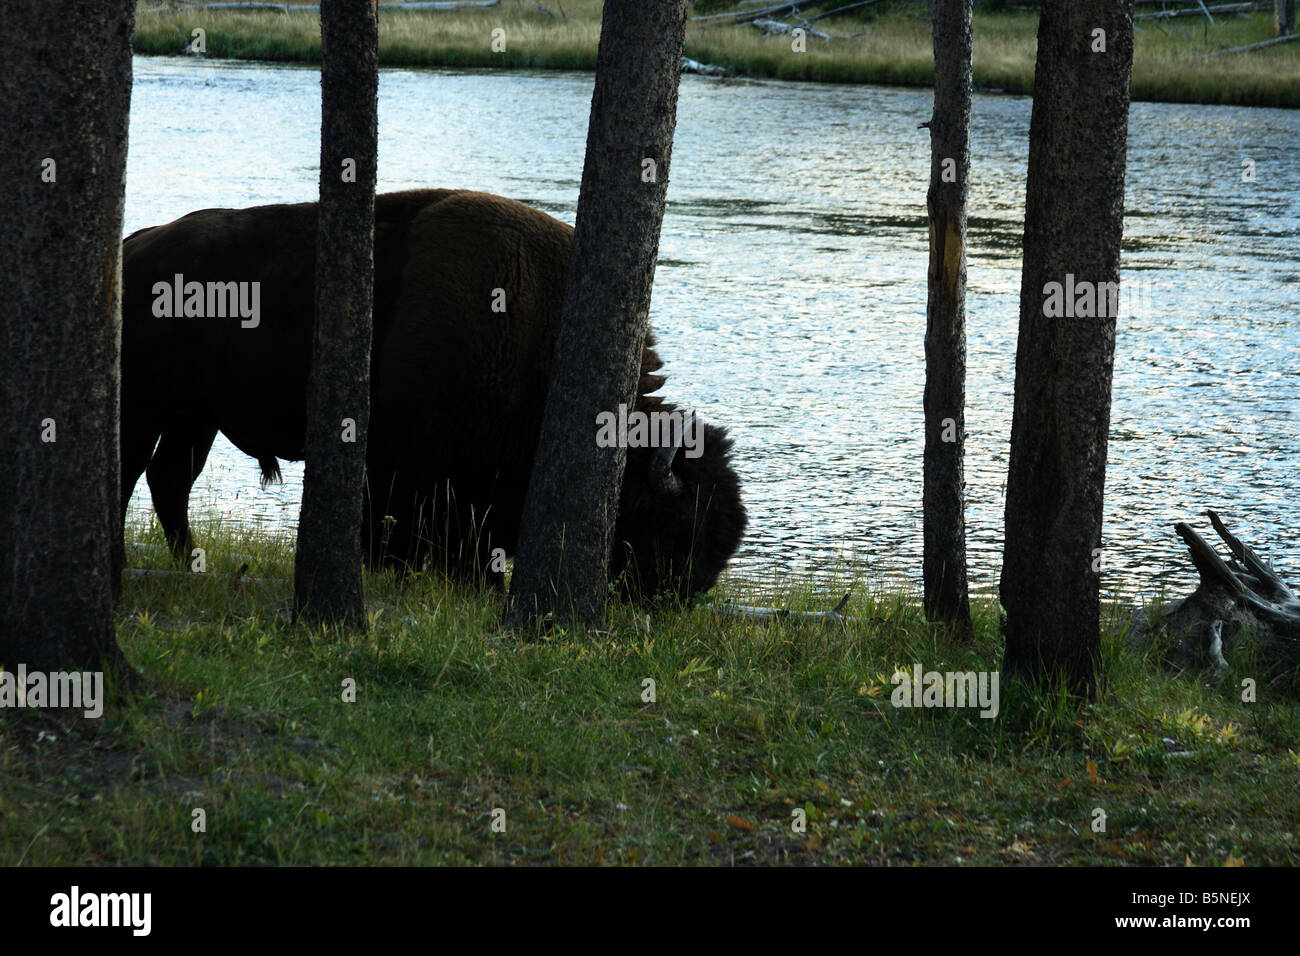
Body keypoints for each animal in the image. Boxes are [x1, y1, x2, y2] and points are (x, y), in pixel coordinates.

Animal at [120, 189, 746, 600]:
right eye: (676, 527)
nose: (676, 600)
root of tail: (134, 248)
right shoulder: (405, 472)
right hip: (148, 408)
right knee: (135, 473)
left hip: (193, 417)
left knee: (168, 480)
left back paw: (190, 567)